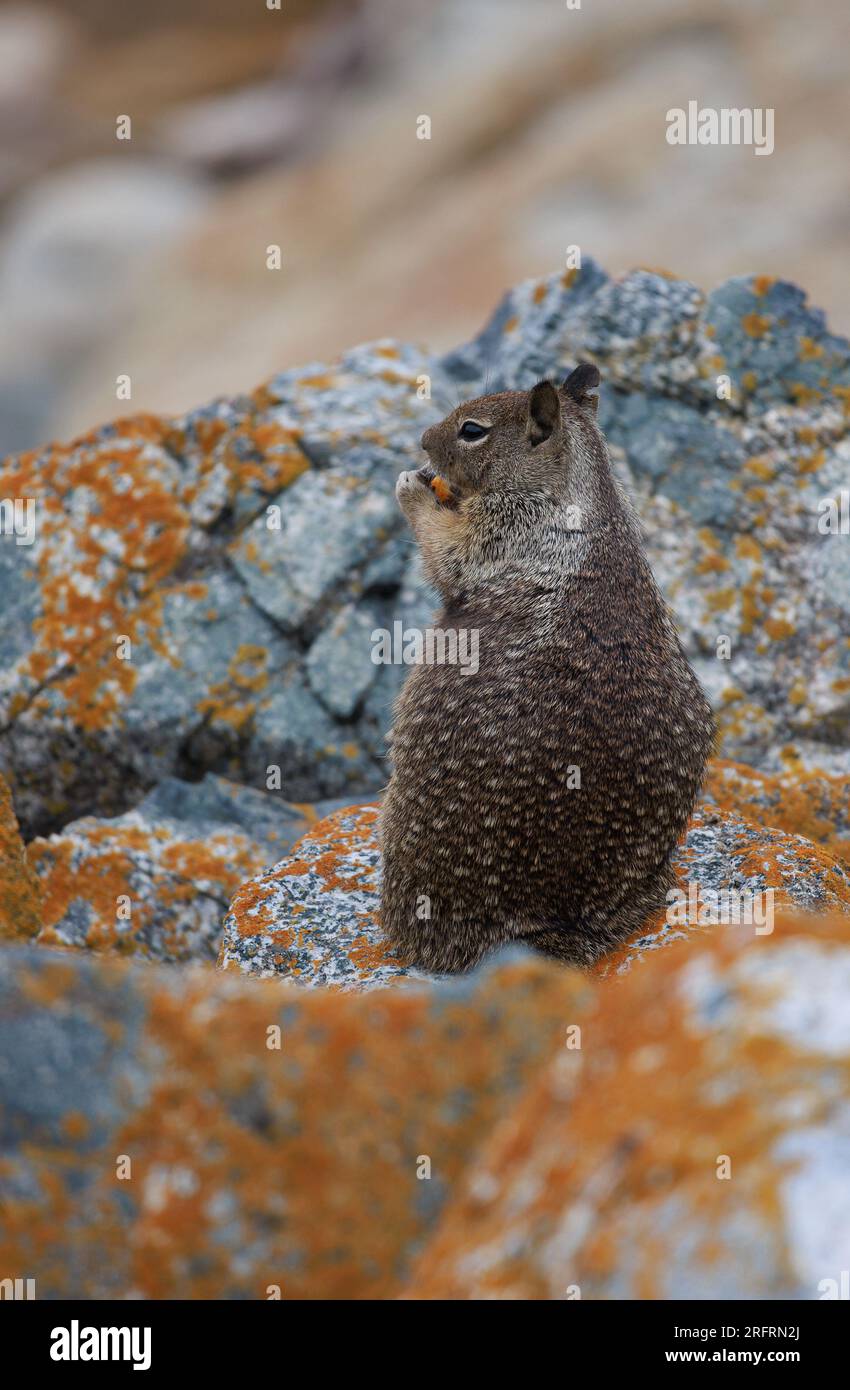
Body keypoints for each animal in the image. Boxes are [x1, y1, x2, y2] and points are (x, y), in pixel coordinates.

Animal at [380, 364, 716, 972]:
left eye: (471, 429)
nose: (421, 439)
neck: (583, 493)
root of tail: (549, 928)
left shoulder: (505, 527)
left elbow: (450, 551)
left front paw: (412, 485)